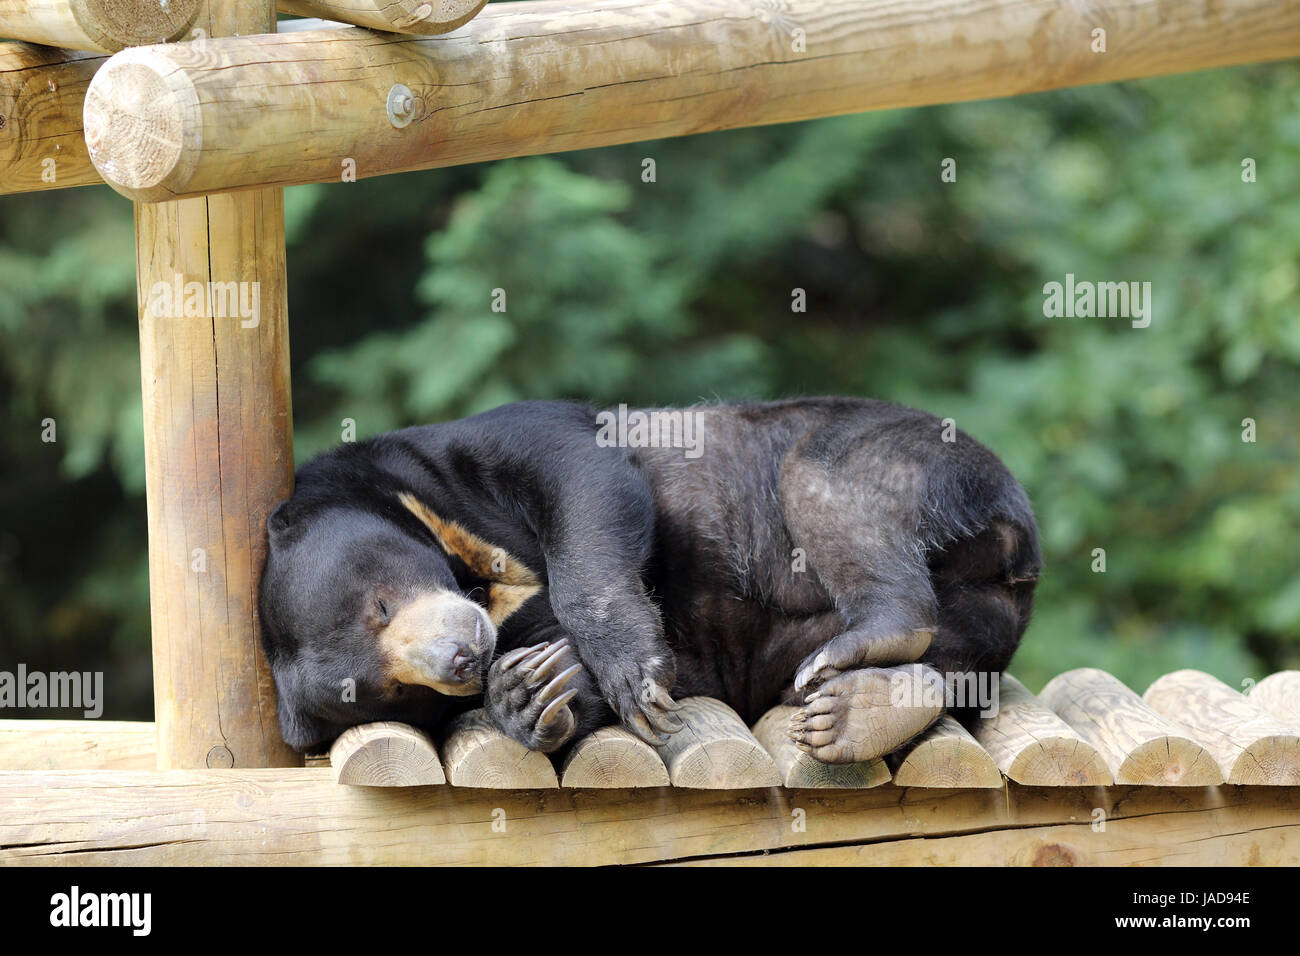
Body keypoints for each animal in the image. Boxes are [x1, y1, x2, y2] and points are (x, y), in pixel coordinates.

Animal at [257, 397, 1041, 762]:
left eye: (380, 604)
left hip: (902, 455)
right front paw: (530, 689)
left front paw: (628, 669)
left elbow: (583, 473)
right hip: (959, 620)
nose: (463, 657)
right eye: (395, 689)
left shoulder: (471, 448)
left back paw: (868, 649)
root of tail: (1018, 551)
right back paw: (860, 712)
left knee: (822, 482)